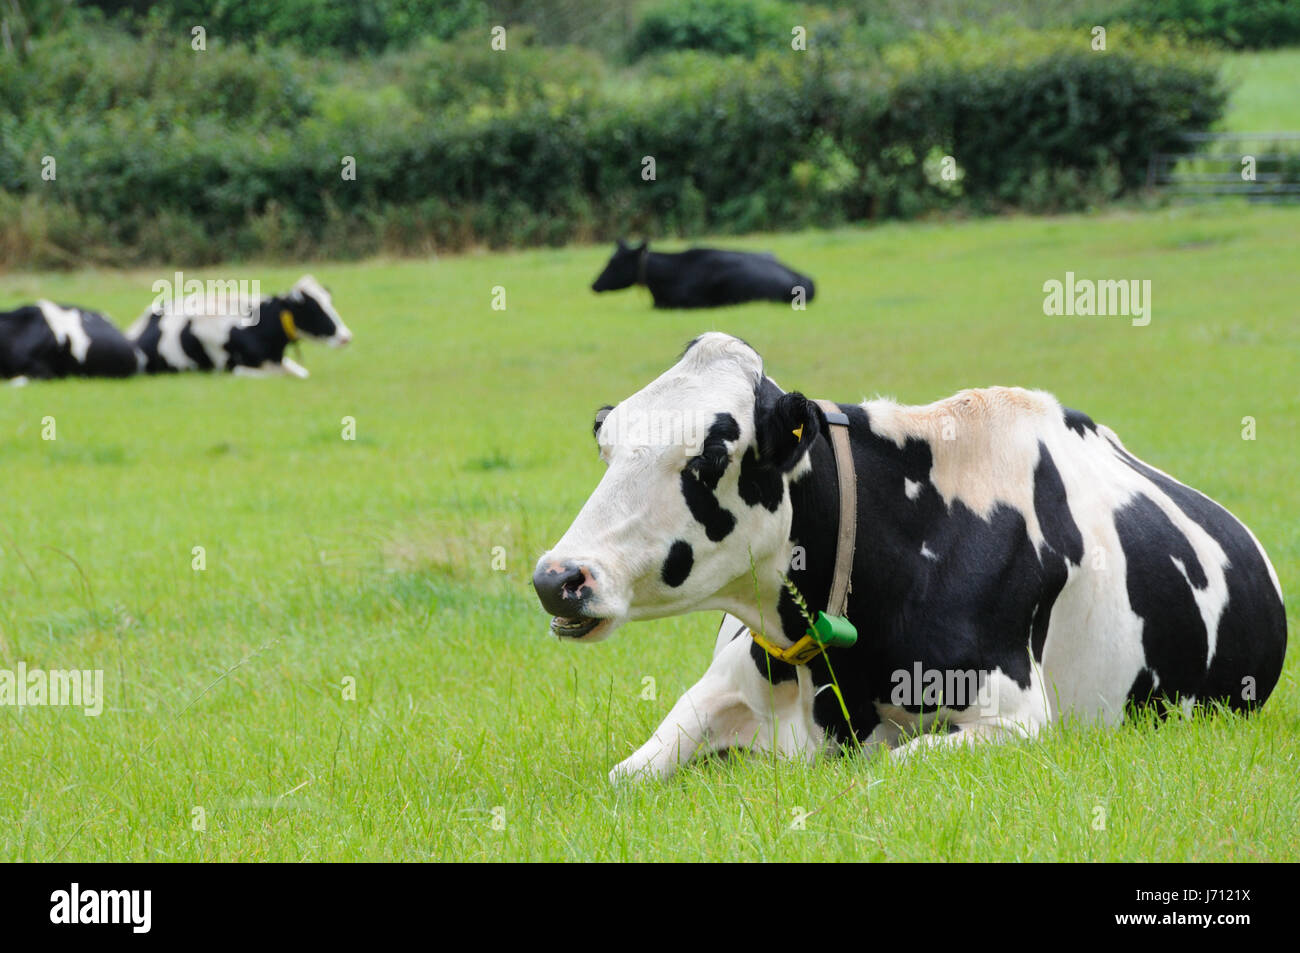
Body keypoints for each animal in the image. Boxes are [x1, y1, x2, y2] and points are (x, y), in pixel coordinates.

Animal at [532, 332, 1287, 783]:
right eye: (607, 443)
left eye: (711, 455)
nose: (557, 578)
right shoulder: (720, 688)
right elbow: (624, 775)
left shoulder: (1019, 718)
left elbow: (887, 770)